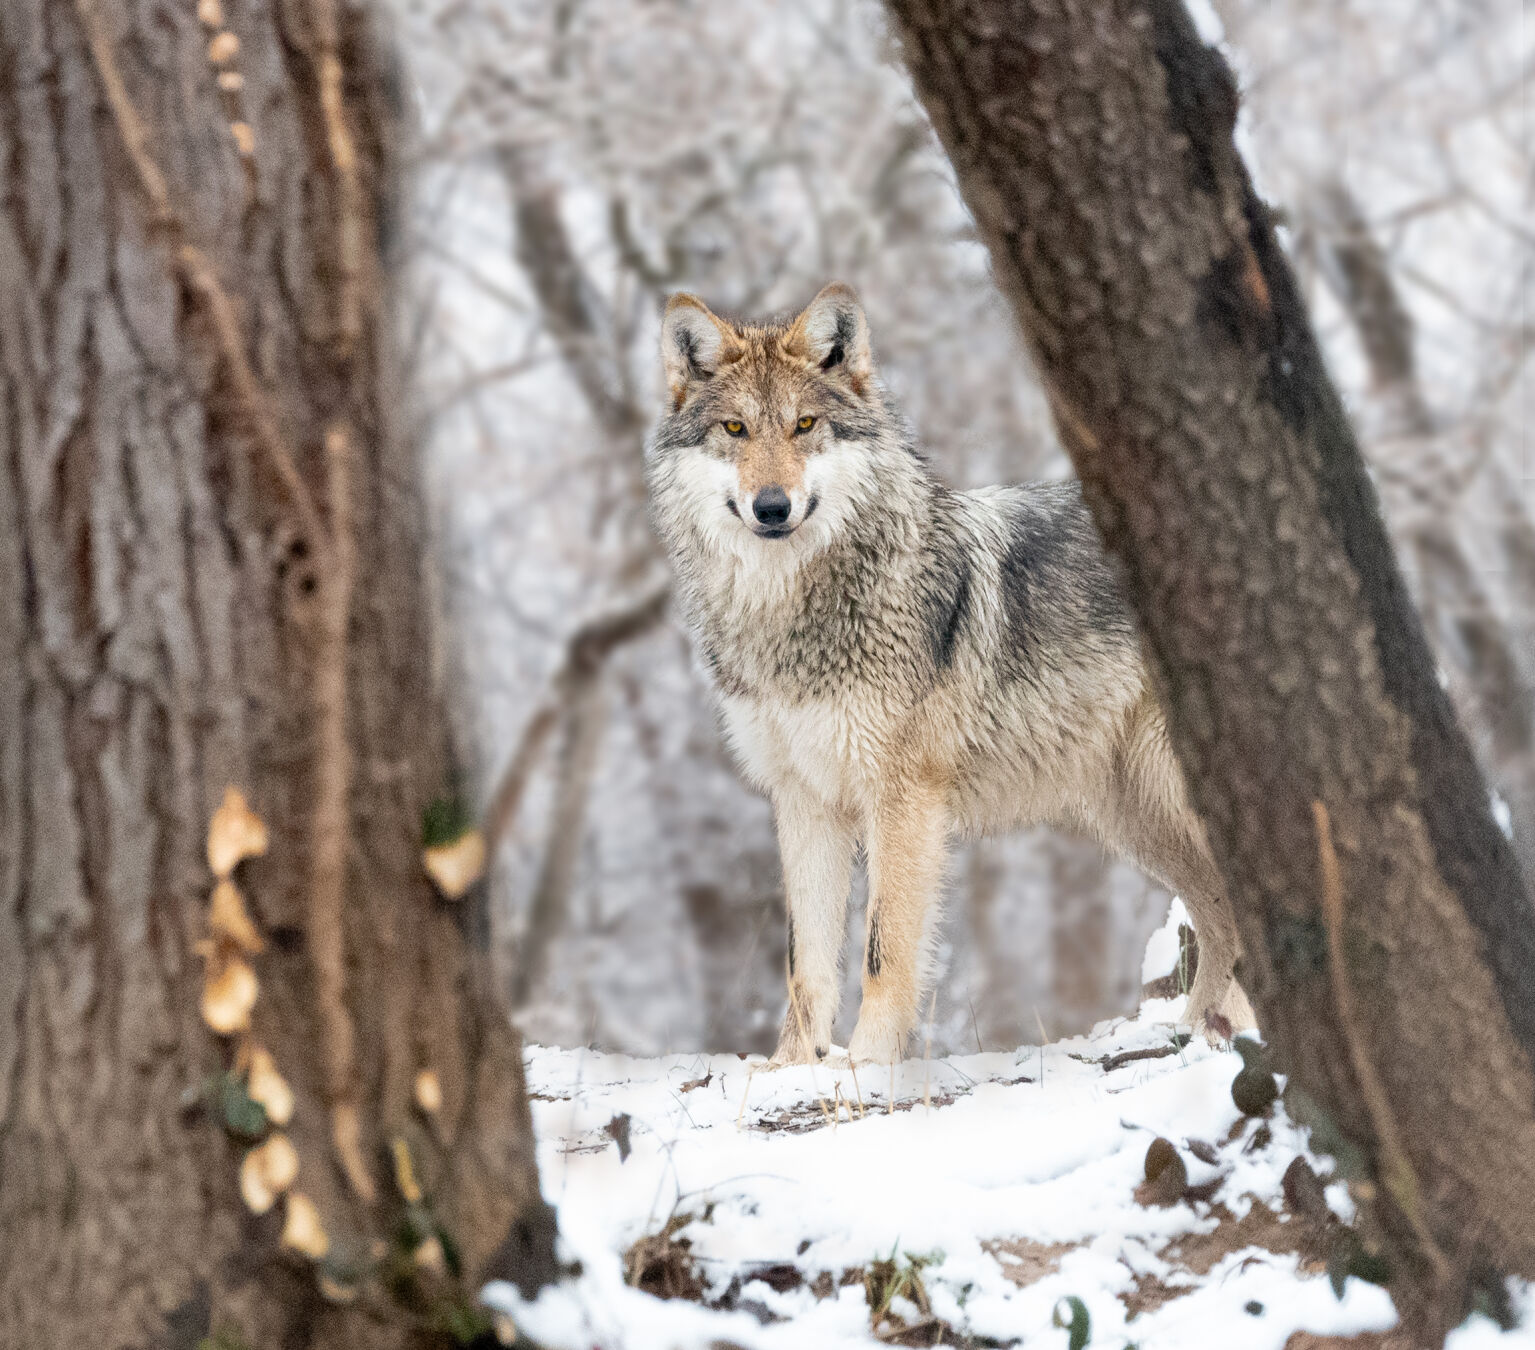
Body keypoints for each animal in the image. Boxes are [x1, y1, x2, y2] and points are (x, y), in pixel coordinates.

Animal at [646, 282, 1256, 1066]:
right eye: (735, 428)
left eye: (805, 424)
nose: (772, 507)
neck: (793, 620)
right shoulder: (803, 799)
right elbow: (804, 963)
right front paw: (792, 1069)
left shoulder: (902, 798)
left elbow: (882, 949)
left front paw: (867, 1068)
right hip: (1140, 818)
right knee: (1224, 924)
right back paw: (1201, 1039)